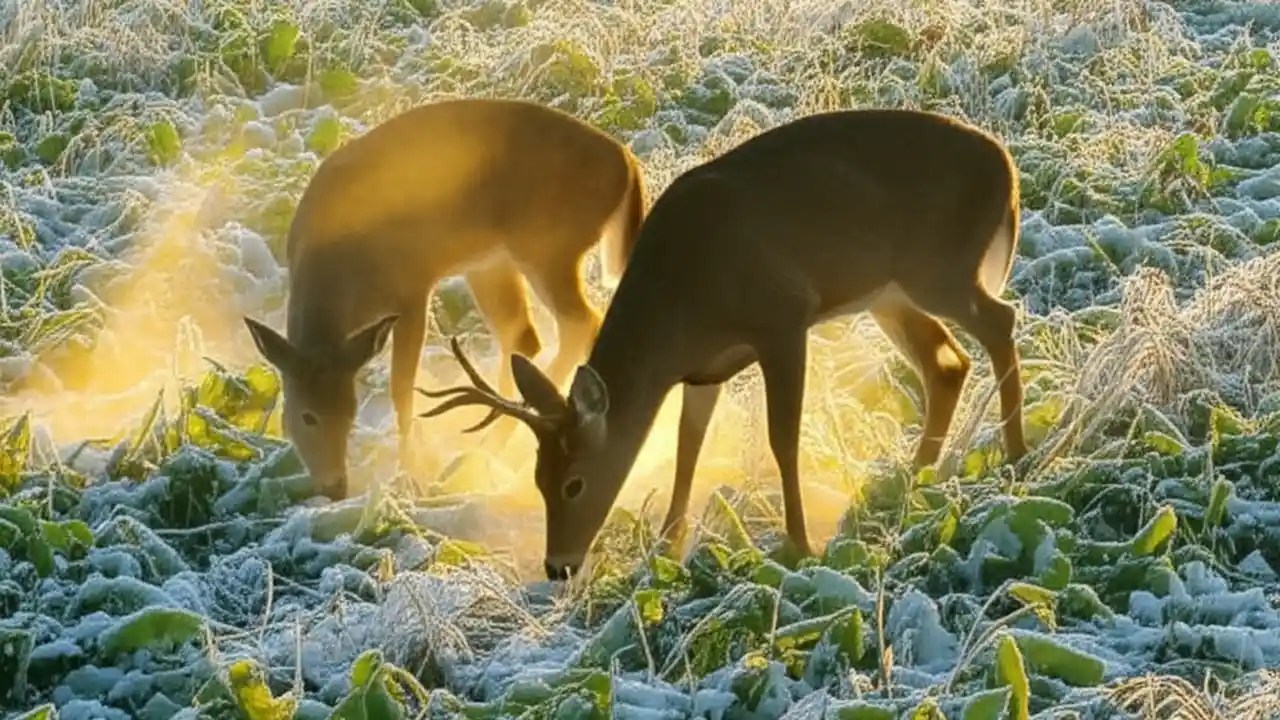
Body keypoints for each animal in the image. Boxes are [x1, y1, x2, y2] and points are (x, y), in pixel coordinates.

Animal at [241, 97, 646, 500]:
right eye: (307, 415)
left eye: (350, 413)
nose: (336, 487)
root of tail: (628, 164)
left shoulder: (412, 288)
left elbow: (402, 389)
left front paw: (409, 474)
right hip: (493, 262)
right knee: (523, 338)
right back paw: (493, 443)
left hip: (549, 244)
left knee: (581, 322)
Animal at [418, 107, 1030, 581]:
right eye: (539, 478)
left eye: (574, 483)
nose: (557, 566)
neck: (684, 298)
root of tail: (1007, 167)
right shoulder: (703, 369)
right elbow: (688, 446)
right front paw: (667, 545)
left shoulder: (782, 316)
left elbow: (783, 439)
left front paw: (799, 545)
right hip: (889, 293)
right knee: (946, 363)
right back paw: (914, 478)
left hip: (940, 268)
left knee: (1000, 321)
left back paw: (1016, 454)